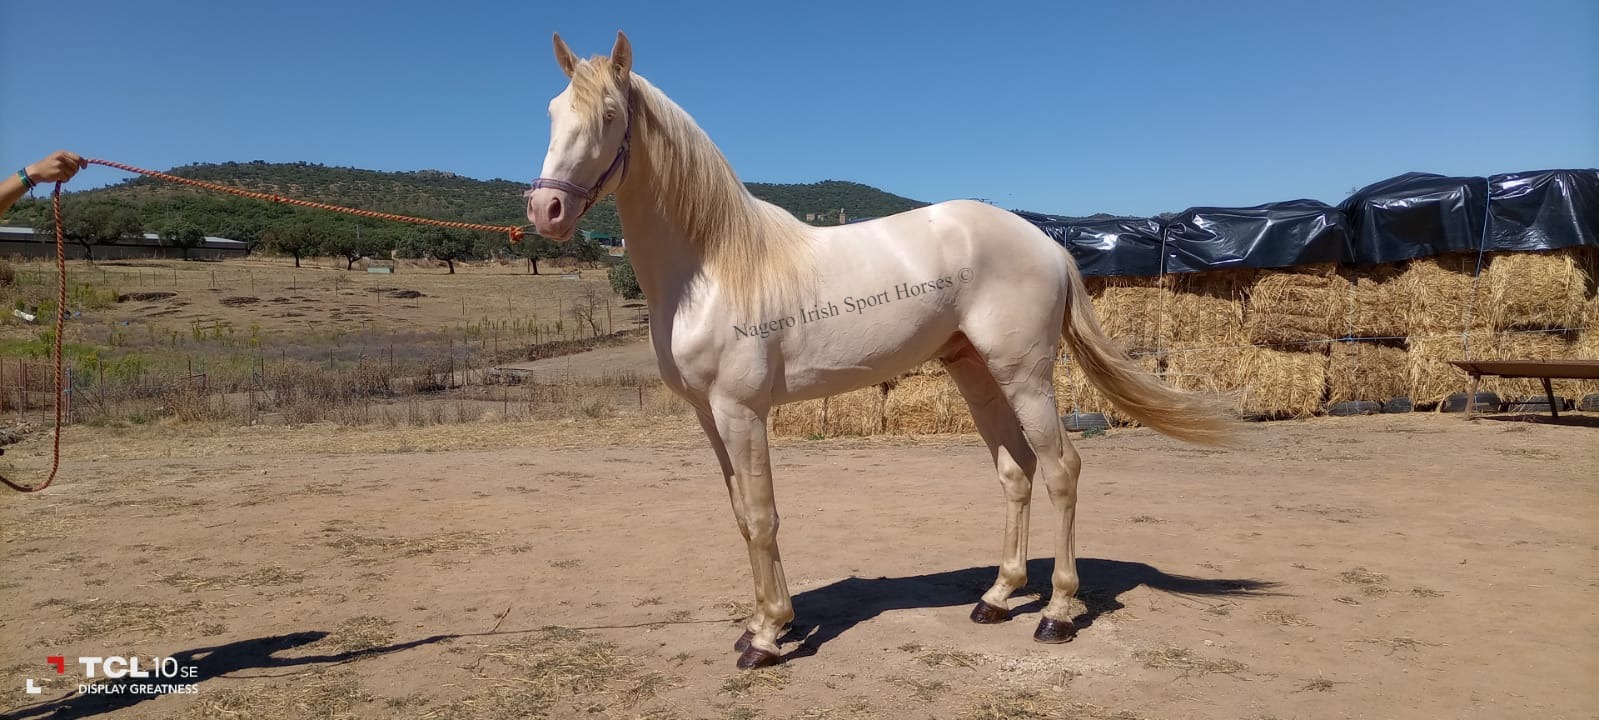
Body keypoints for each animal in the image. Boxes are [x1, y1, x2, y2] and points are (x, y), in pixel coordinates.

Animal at [524, 31, 1239, 669]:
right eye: (554, 111)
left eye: (610, 114)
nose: (547, 210)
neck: (715, 265)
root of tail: (1045, 242)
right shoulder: (709, 417)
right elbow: (740, 517)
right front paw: (759, 624)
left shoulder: (742, 412)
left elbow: (762, 516)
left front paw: (768, 637)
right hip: (976, 374)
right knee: (1016, 471)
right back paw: (998, 598)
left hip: (1025, 376)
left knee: (1061, 469)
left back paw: (1059, 615)